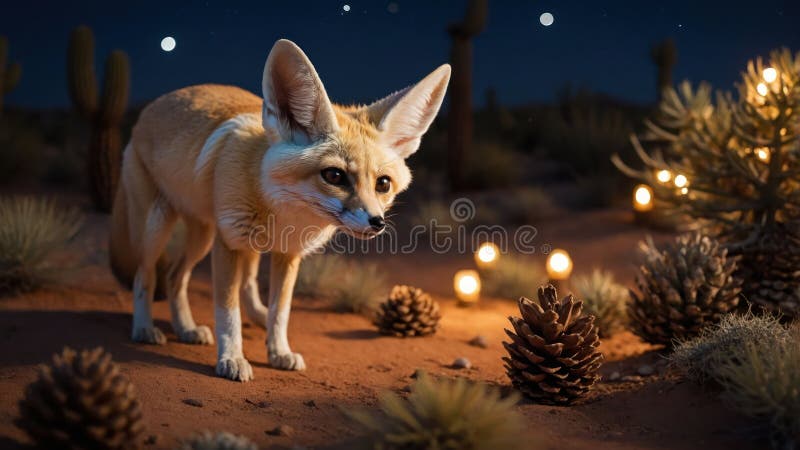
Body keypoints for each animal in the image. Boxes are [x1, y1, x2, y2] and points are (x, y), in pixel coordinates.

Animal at [109, 39, 450, 381]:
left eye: (383, 184)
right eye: (334, 176)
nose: (376, 222)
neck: (282, 215)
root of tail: (153, 106)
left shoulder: (287, 254)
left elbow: (280, 311)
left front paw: (278, 352)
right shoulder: (228, 244)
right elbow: (227, 312)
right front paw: (231, 358)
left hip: (207, 239)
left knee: (181, 278)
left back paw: (188, 328)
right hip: (161, 229)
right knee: (146, 276)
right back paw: (145, 328)